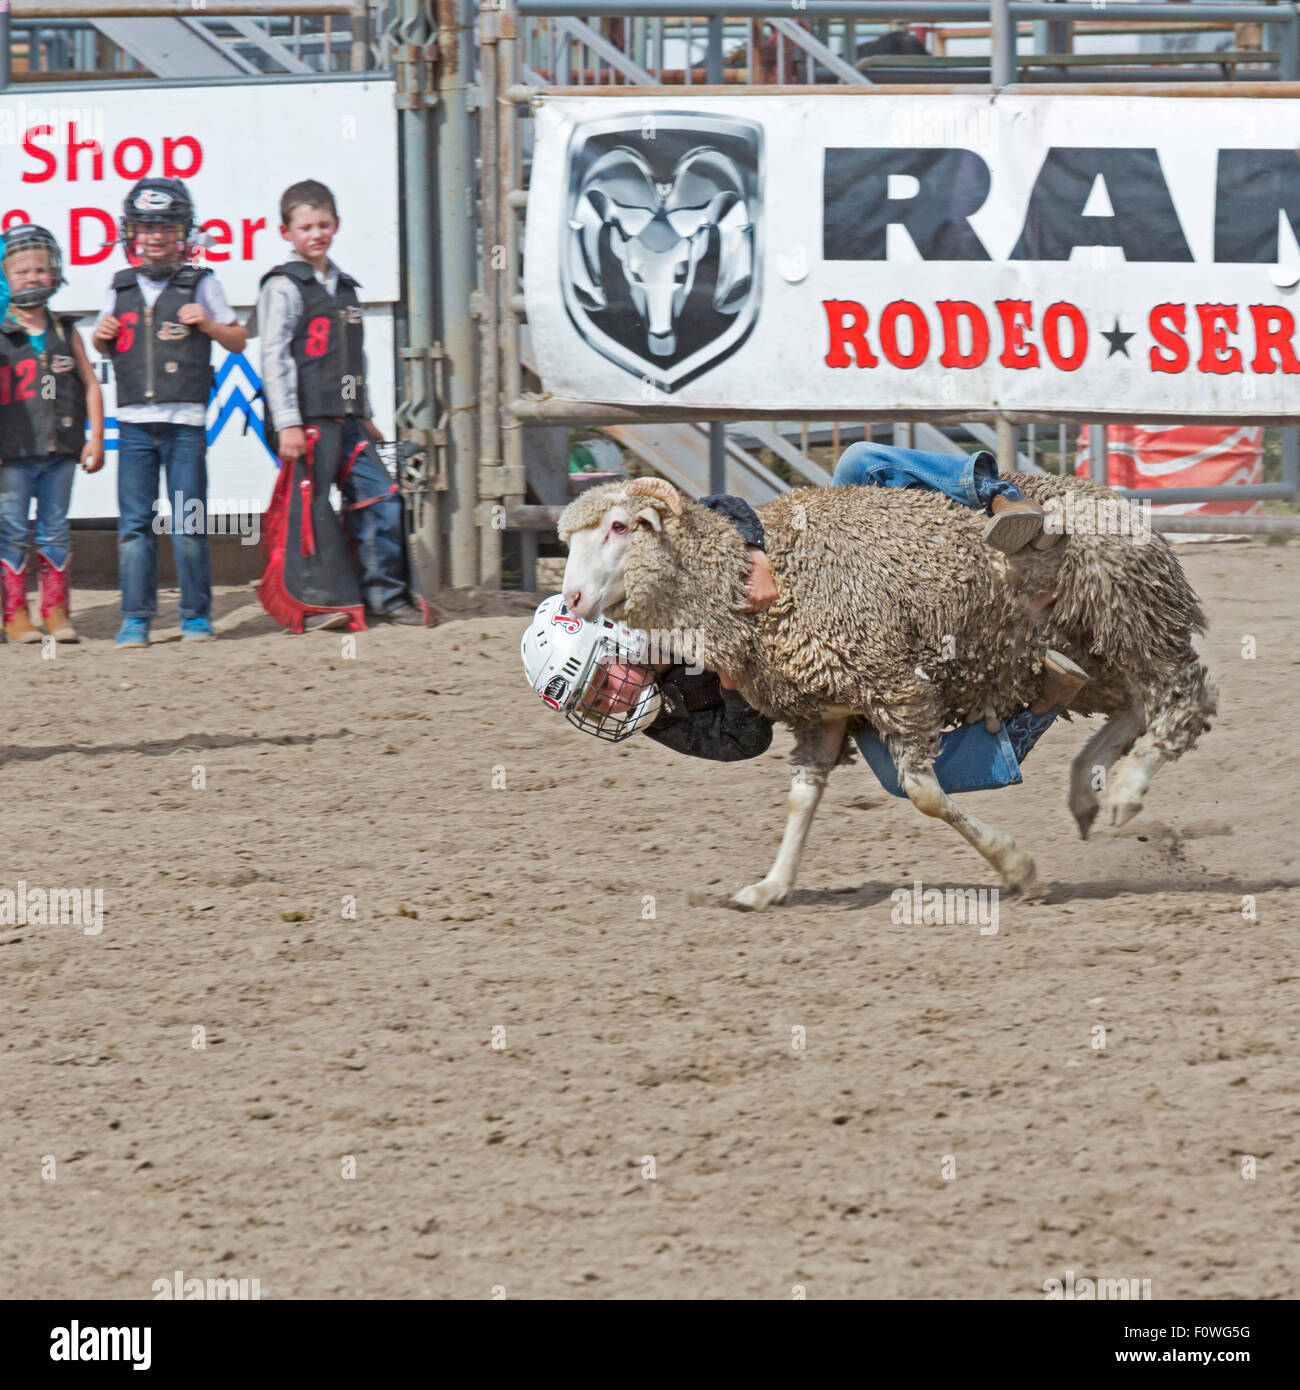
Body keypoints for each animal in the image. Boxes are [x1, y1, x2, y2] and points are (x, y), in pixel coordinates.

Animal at [557, 472, 1217, 911]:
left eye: (620, 527)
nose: (573, 600)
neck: (761, 583)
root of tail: (1118, 503)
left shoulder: (892, 684)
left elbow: (924, 794)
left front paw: (1019, 869)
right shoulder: (822, 710)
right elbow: (802, 800)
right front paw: (771, 885)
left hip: (1131, 615)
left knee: (1186, 697)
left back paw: (1127, 789)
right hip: (1077, 648)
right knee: (1134, 704)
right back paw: (1089, 787)